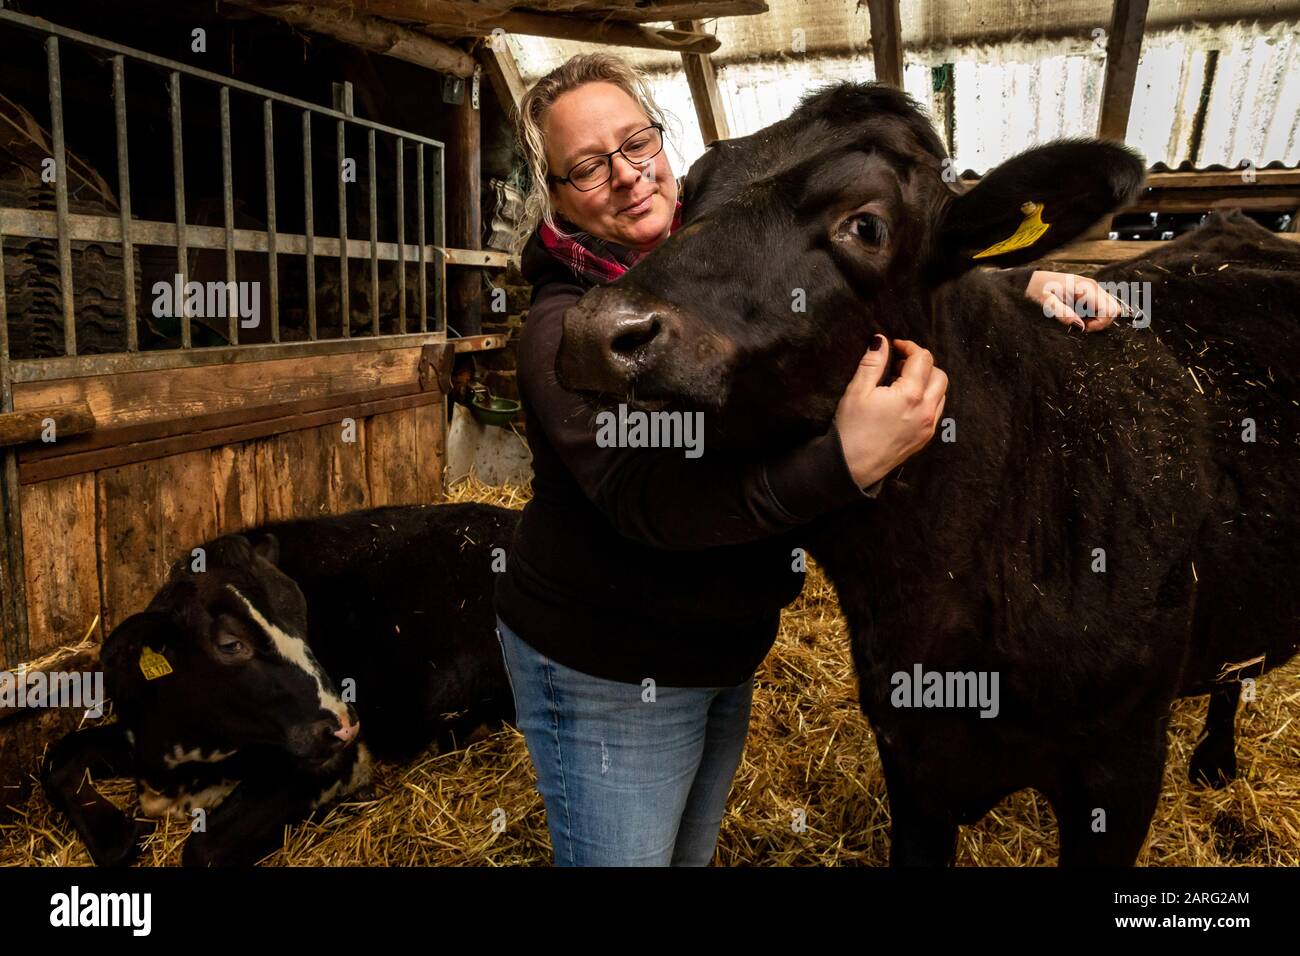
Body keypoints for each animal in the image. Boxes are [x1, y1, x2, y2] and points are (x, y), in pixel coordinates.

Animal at [42, 502, 518, 867]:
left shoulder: (329, 759)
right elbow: (60, 758)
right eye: (230, 644)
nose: (344, 723)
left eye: (301, 612)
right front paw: (115, 834)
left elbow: (201, 851)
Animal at [555, 81, 1300, 866]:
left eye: (867, 225)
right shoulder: (910, 755)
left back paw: (1215, 759)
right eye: (690, 192)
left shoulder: (1121, 770)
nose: (599, 332)